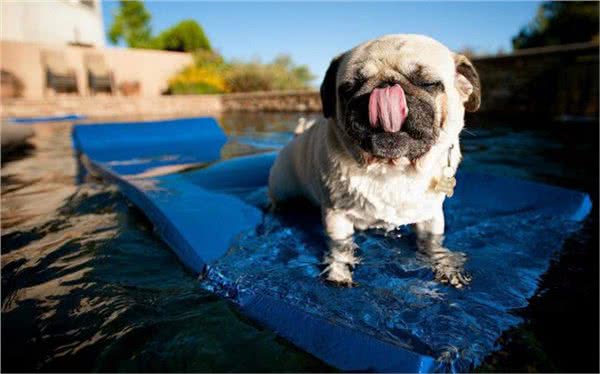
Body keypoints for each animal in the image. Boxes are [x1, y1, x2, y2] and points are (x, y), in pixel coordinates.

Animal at [268, 34, 478, 286]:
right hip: (282, 186)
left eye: (428, 83)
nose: (386, 86)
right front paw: (338, 272)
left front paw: (446, 264)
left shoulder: (432, 217)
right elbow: (341, 248)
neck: (392, 169)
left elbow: (433, 243)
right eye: (349, 88)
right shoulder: (336, 217)